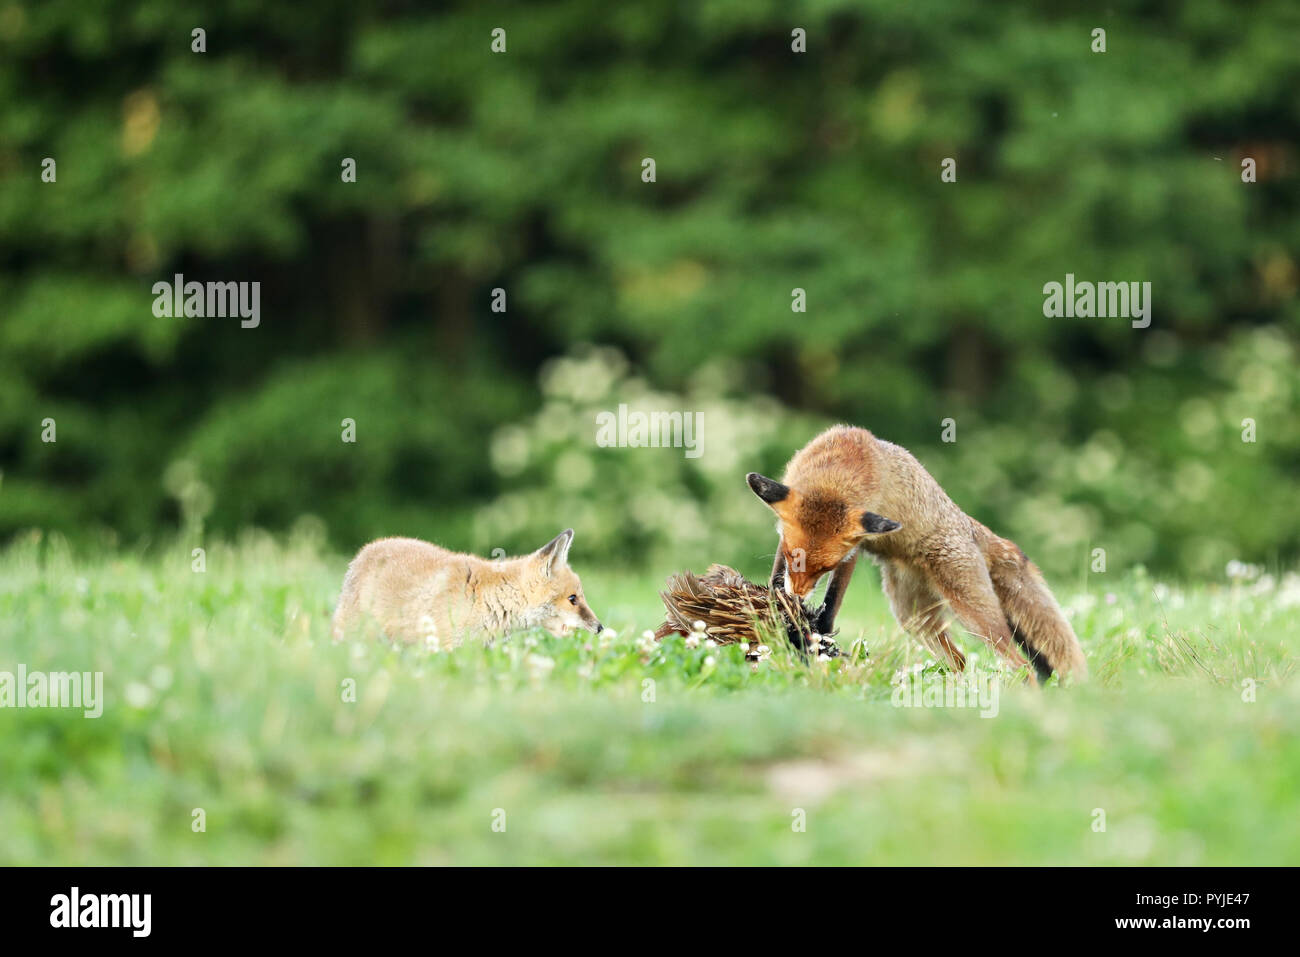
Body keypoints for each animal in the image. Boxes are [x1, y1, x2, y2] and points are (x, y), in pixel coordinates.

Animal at [746, 425, 1087, 683]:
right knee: (960, 660)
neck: (835, 473)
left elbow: (832, 602)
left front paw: (815, 631)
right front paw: (776, 605)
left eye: (825, 568)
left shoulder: (854, 547)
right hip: (913, 618)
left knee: (1022, 665)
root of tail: (969, 525)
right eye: (792, 555)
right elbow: (776, 574)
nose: (797, 595)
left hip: (972, 615)